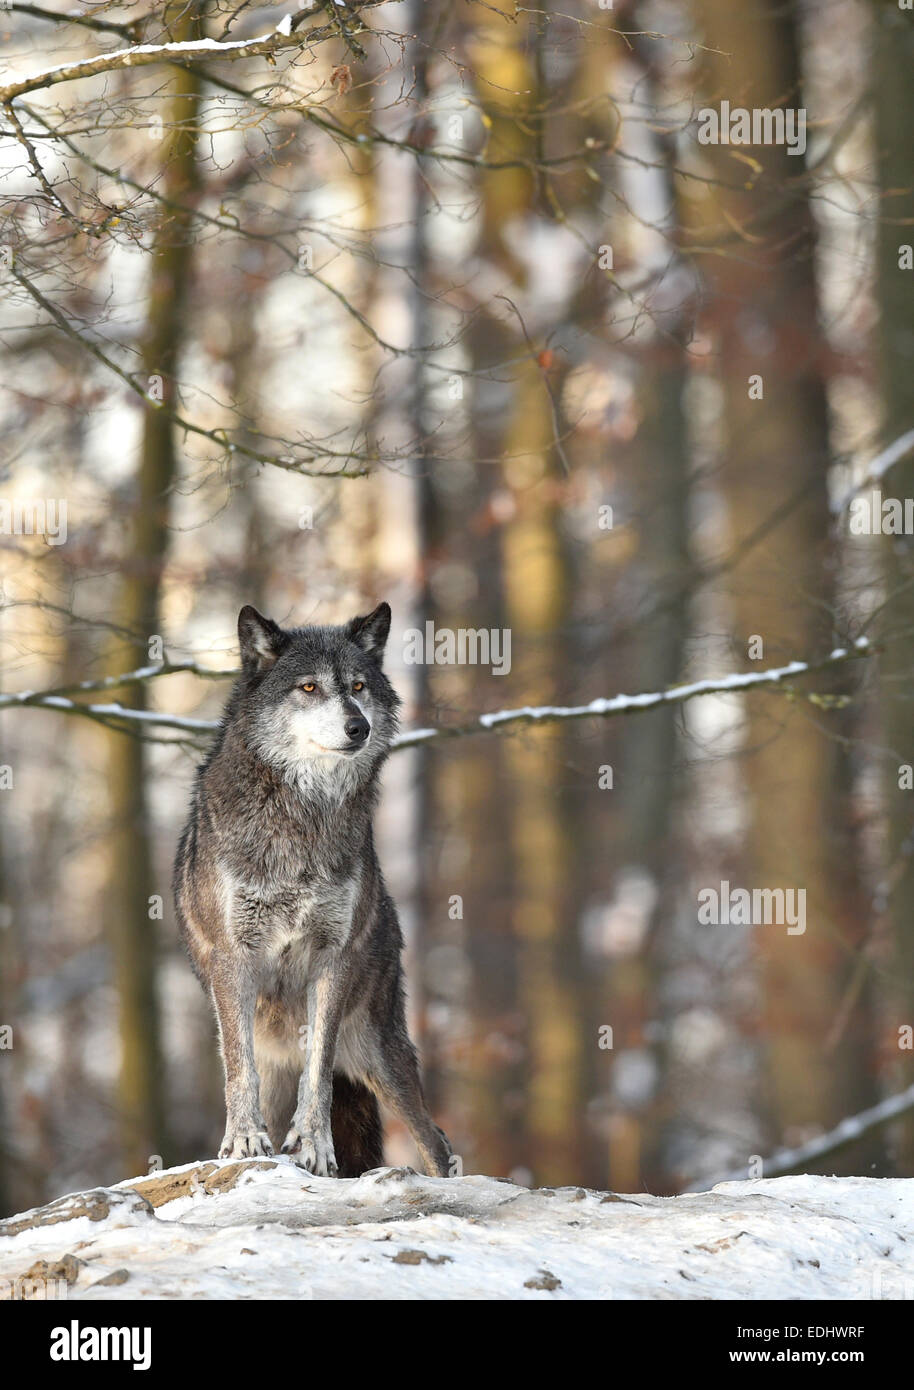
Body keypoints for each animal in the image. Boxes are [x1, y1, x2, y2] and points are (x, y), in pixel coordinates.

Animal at [173, 602, 452, 1178]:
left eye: (359, 686)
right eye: (308, 687)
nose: (358, 726)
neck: (303, 816)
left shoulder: (333, 957)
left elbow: (319, 1070)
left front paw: (315, 1145)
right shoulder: (234, 957)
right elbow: (239, 1071)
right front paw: (244, 1142)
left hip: (377, 1052)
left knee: (437, 1142)